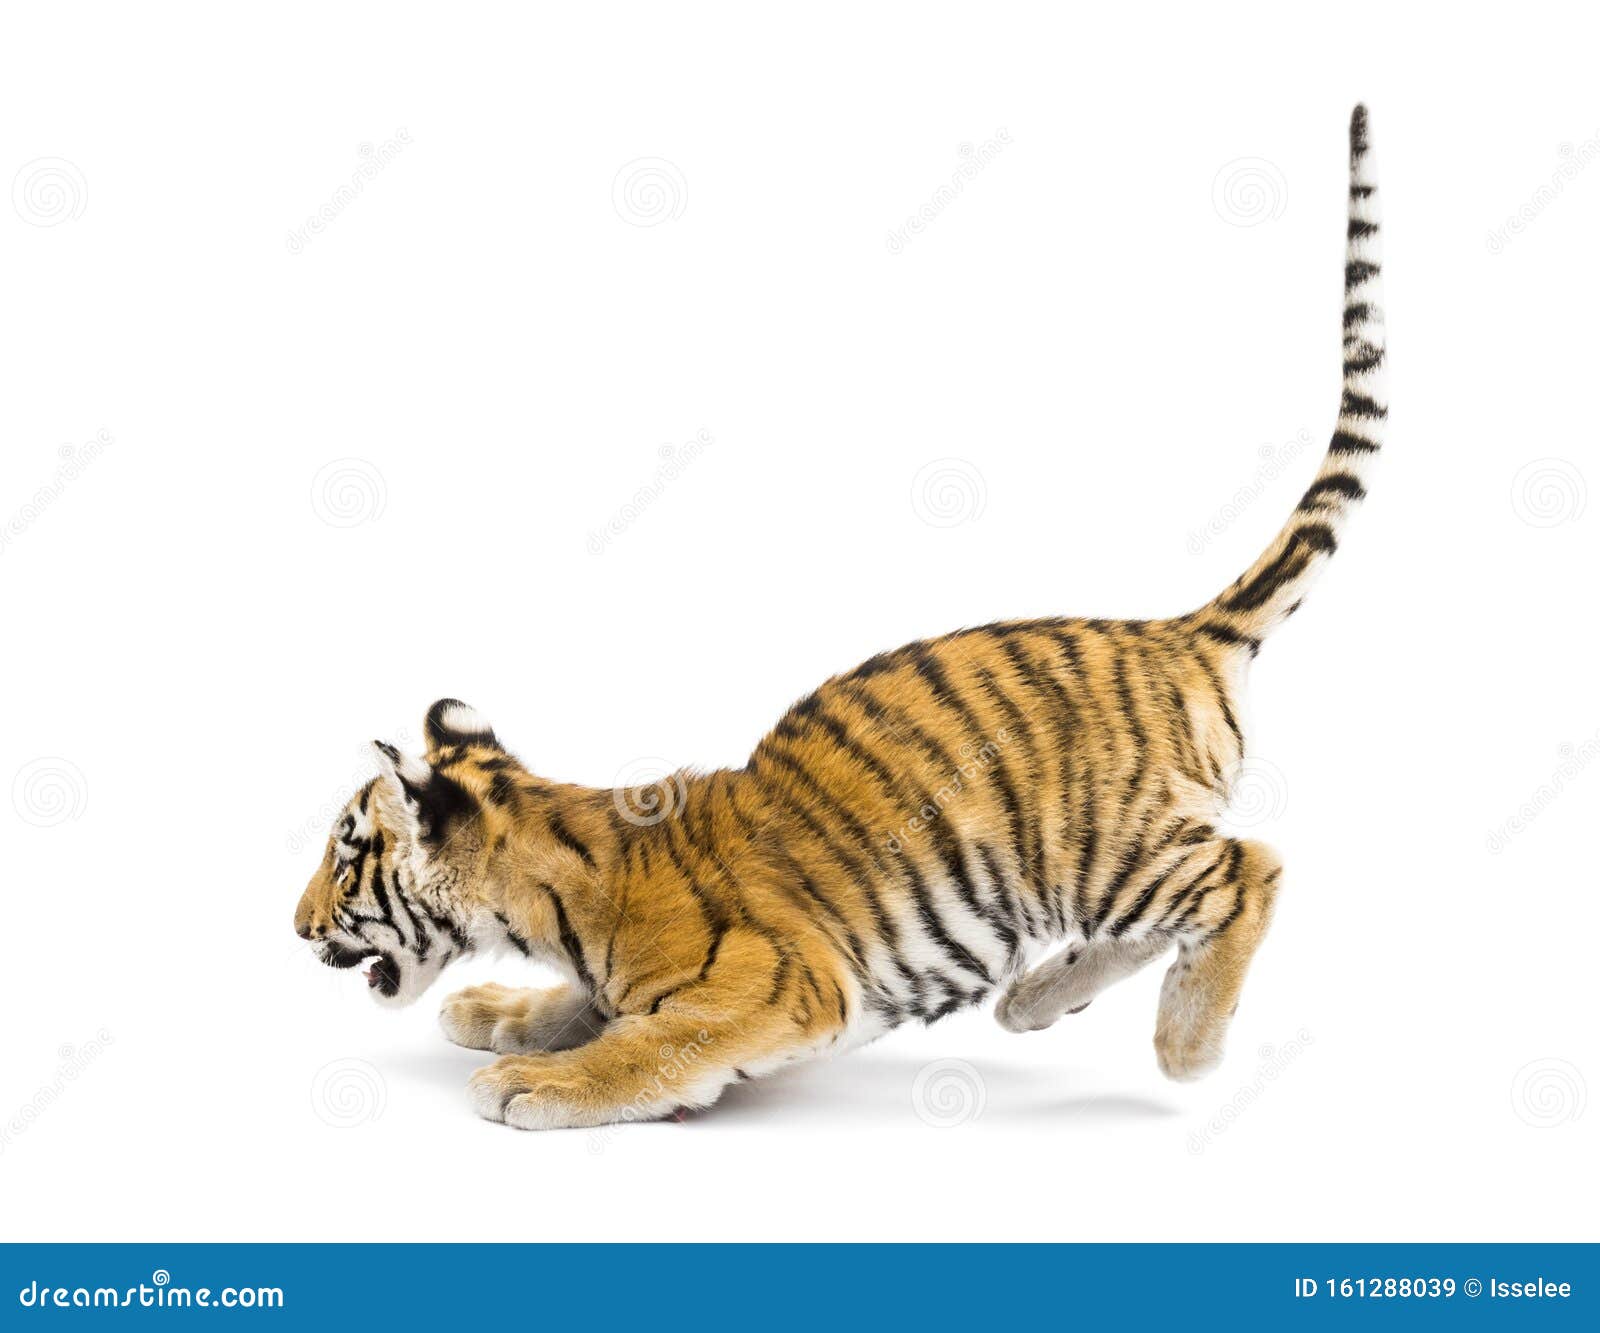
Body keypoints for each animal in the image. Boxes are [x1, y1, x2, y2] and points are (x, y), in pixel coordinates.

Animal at [294, 106, 1384, 1130]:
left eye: (349, 855)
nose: (297, 928)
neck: (548, 883)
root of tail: (1174, 633)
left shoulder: (782, 981)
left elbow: (651, 1040)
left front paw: (529, 1079)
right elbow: (585, 1004)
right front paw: (501, 1013)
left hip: (1097, 845)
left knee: (1250, 869)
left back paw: (1185, 1044)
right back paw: (1037, 999)